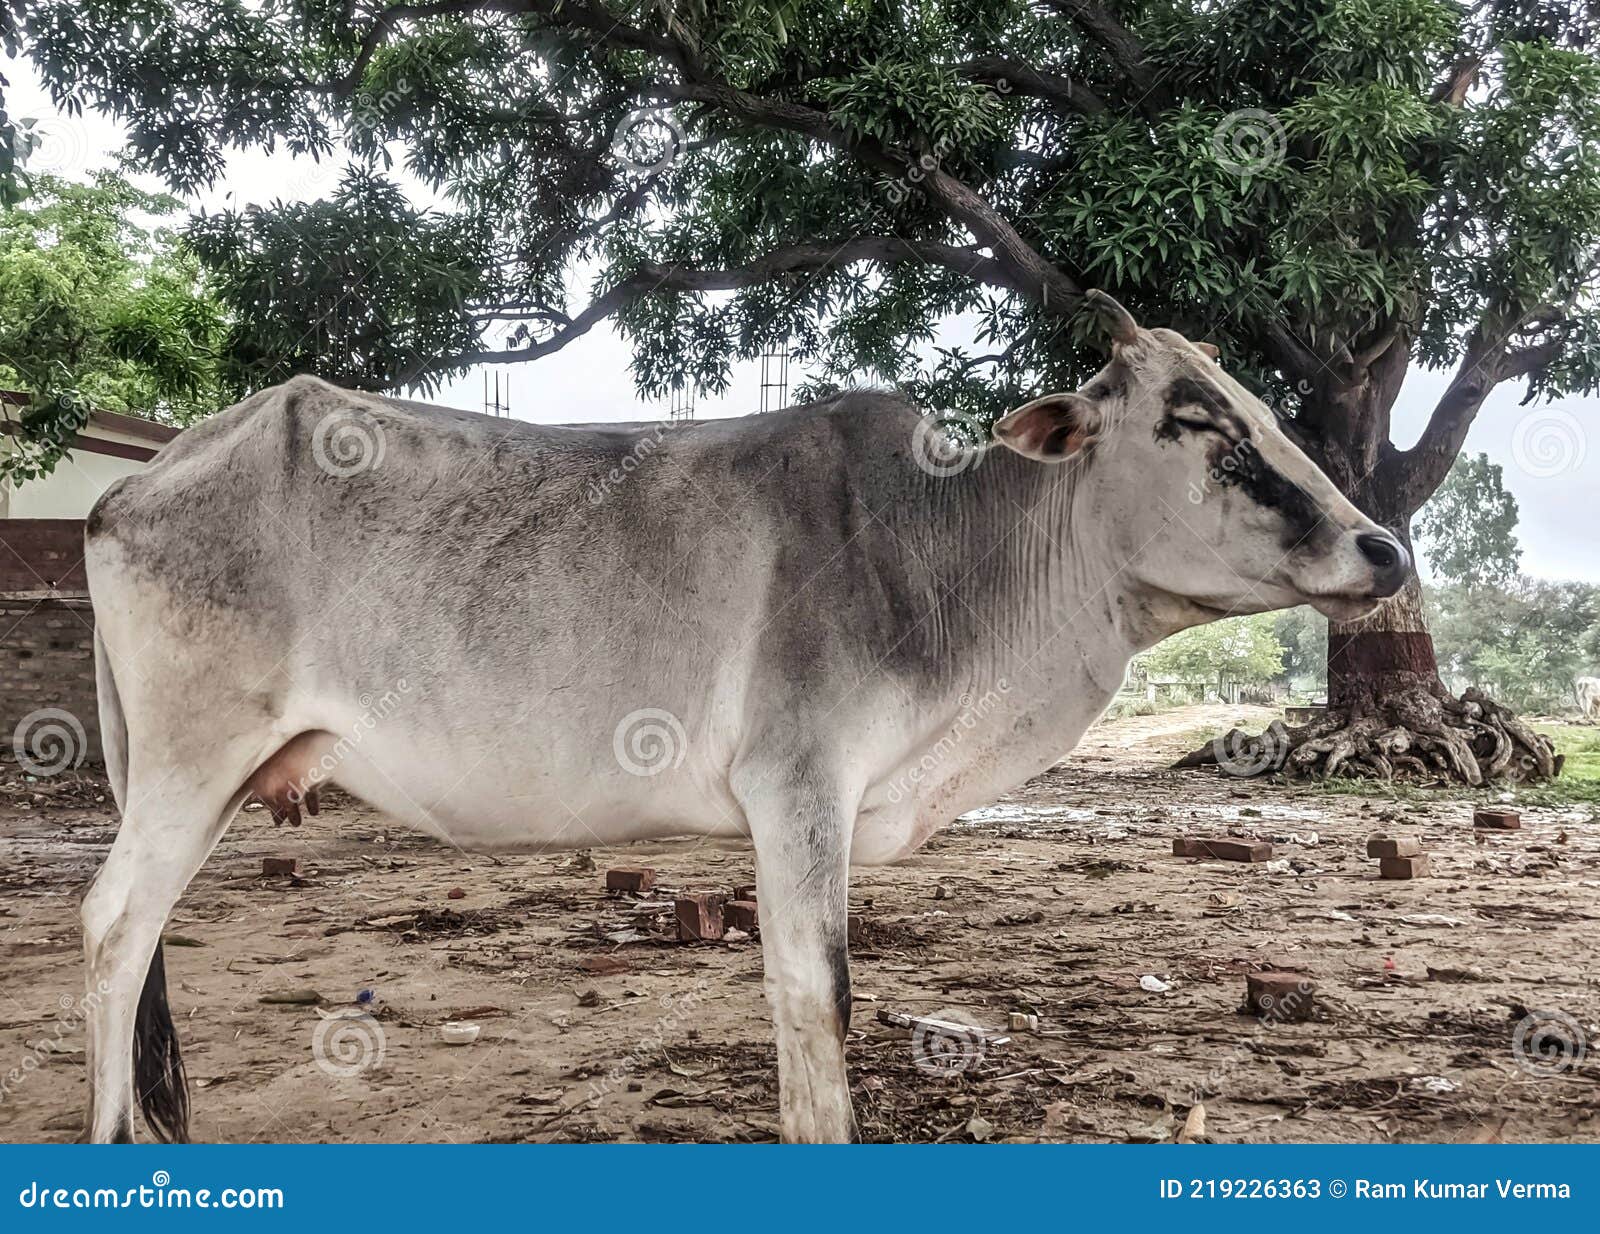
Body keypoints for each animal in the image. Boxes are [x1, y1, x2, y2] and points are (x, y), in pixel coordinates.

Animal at [78, 293, 1407, 1144]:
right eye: (1195, 420)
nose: (1381, 547)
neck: (951, 549)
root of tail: (131, 485)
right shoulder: (798, 788)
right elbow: (819, 997)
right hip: (190, 763)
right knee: (111, 929)